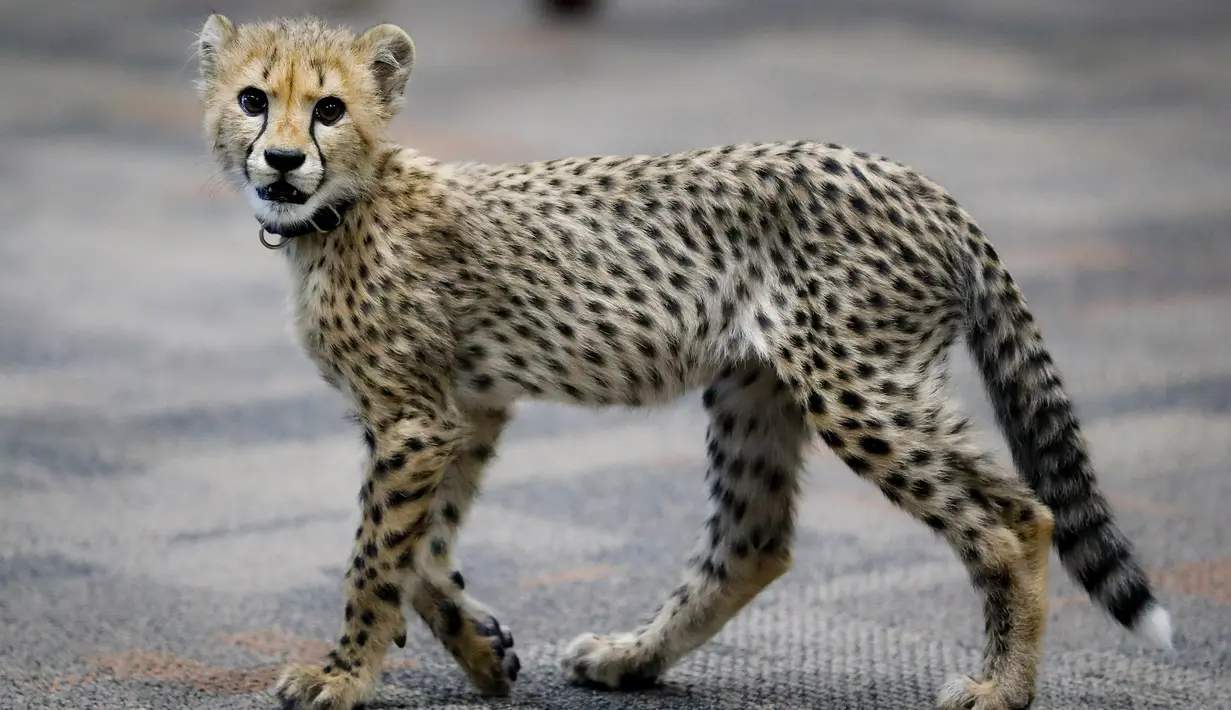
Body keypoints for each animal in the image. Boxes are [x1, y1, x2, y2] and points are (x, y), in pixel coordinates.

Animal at [195, 14, 1174, 710]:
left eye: (328, 109)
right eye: (252, 100)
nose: (281, 160)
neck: (341, 210)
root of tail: (912, 178)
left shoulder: (415, 418)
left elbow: (374, 556)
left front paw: (342, 676)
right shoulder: (463, 408)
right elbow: (425, 551)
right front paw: (481, 648)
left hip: (857, 388)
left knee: (1014, 517)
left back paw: (1001, 688)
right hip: (759, 387)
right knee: (760, 539)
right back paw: (629, 658)